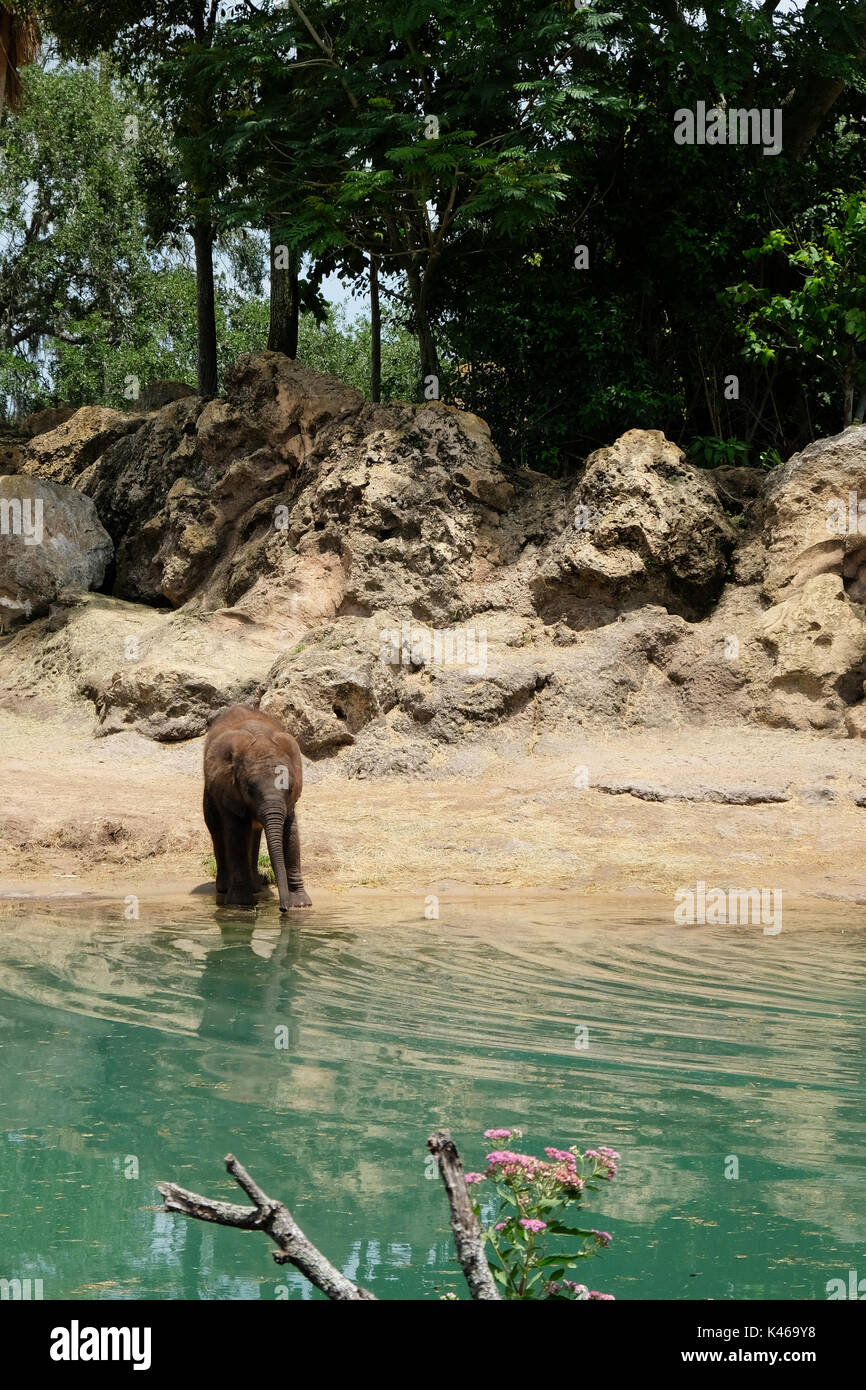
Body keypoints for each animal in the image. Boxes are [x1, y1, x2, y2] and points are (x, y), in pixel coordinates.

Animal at [203, 704, 312, 911]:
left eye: (290, 789)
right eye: (249, 790)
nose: (283, 908)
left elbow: (291, 835)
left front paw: (301, 904)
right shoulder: (230, 792)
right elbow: (236, 834)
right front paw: (240, 903)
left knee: (254, 833)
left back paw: (255, 887)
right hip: (210, 794)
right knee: (217, 831)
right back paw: (224, 888)